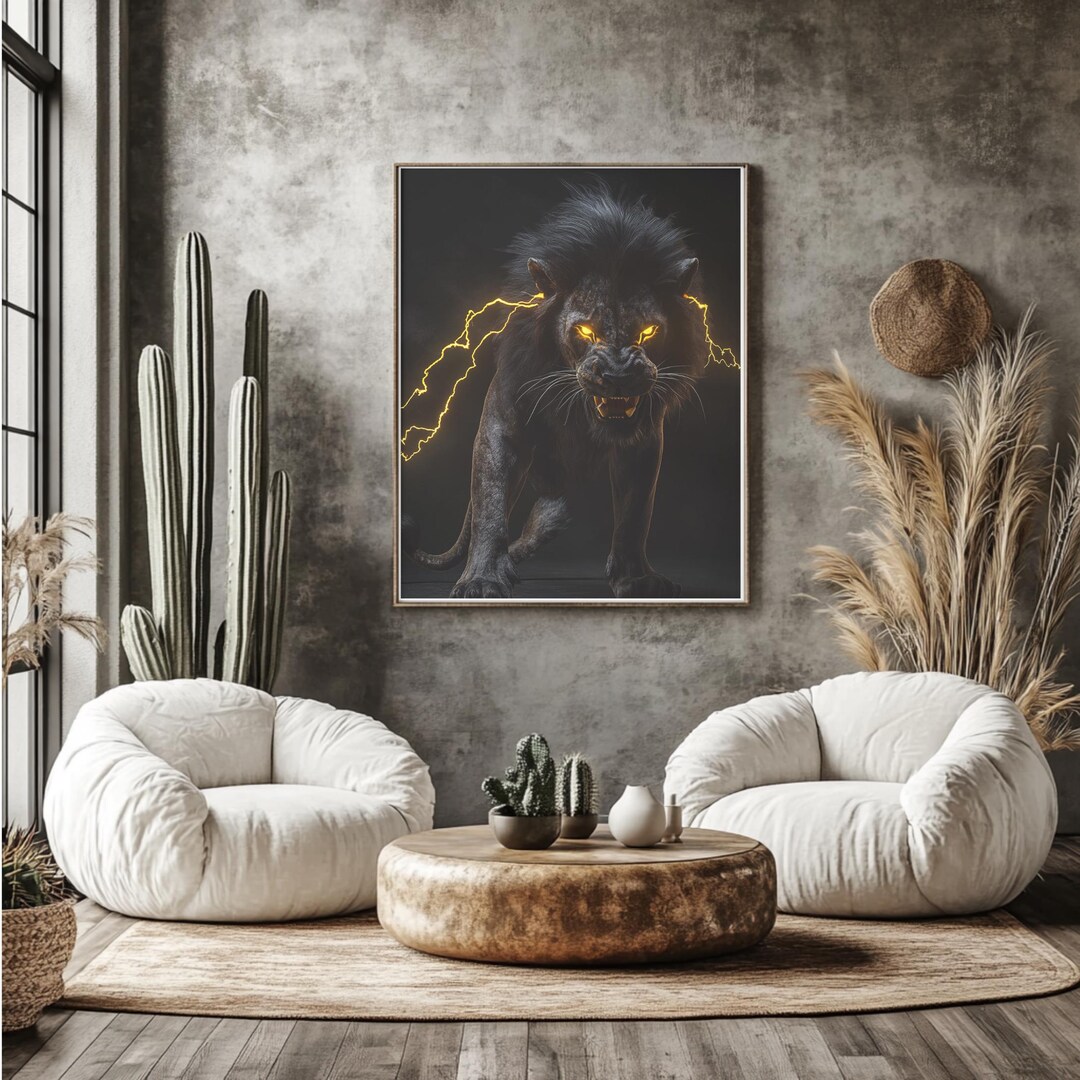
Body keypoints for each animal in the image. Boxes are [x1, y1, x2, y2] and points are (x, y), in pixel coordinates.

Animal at [405, 185, 709, 599]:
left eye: (648, 331)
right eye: (585, 331)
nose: (617, 374)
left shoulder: (644, 439)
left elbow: (635, 512)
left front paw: (636, 580)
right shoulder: (502, 426)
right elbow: (489, 507)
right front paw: (480, 580)